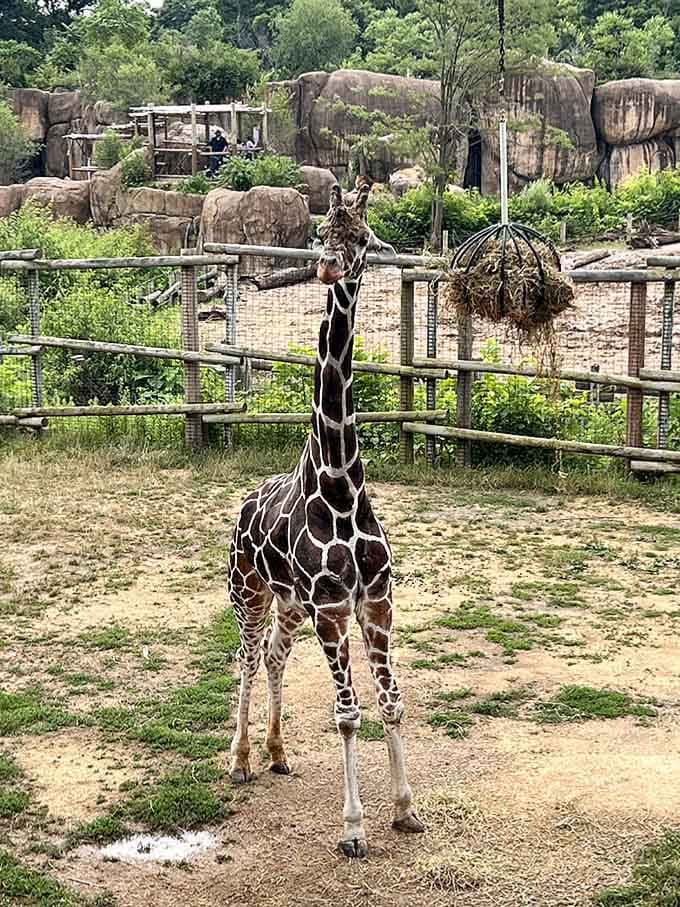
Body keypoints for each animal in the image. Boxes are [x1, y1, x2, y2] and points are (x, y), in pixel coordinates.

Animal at [228, 177, 424, 858]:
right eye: (321, 231)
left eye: (362, 236)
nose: (329, 267)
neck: (339, 484)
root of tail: (242, 504)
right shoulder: (333, 607)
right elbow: (347, 712)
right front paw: (354, 827)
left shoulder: (376, 600)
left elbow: (391, 703)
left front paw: (405, 810)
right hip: (249, 594)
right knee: (245, 659)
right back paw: (238, 761)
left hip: (289, 605)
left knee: (274, 657)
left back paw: (277, 753)